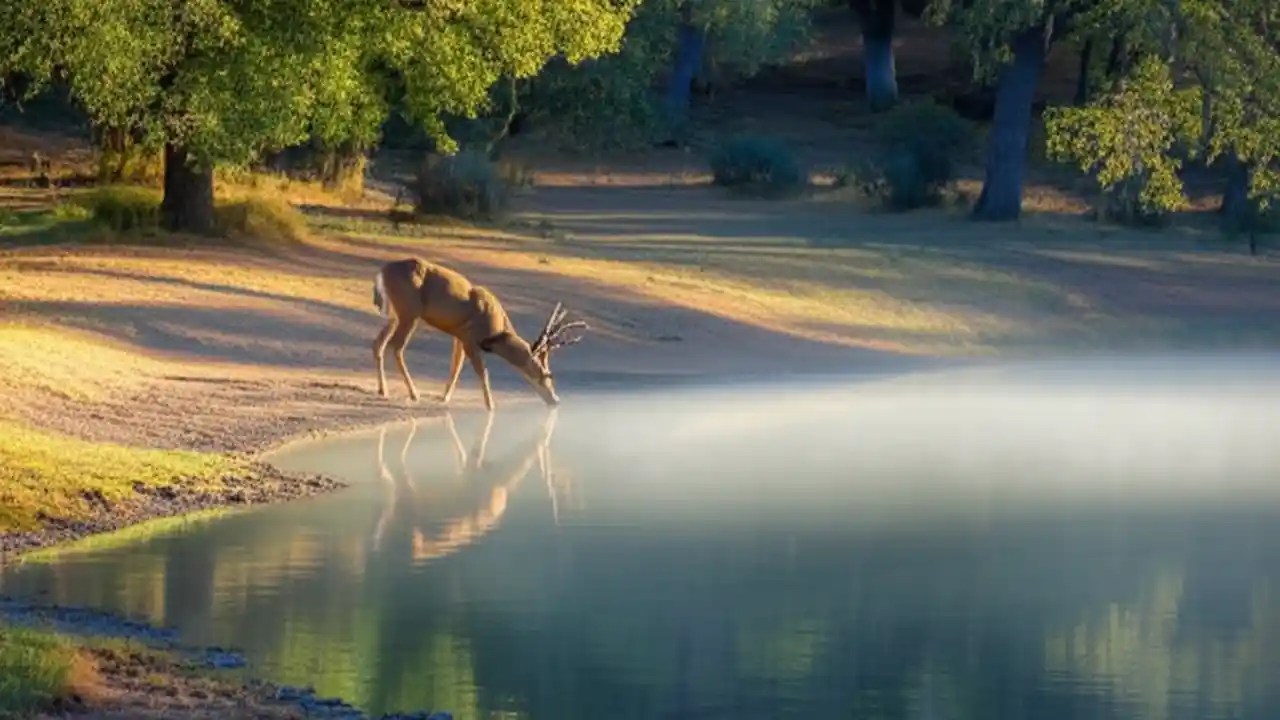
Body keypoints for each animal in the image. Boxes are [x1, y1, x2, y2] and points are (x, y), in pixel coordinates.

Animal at [371, 257, 587, 411]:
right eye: (548, 375)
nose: (555, 400)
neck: (497, 329)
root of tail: (382, 272)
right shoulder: (470, 339)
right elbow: (483, 372)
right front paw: (490, 406)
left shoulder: (458, 335)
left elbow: (455, 367)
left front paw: (444, 398)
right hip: (410, 313)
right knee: (397, 347)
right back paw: (414, 394)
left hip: (394, 316)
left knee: (378, 344)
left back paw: (383, 390)